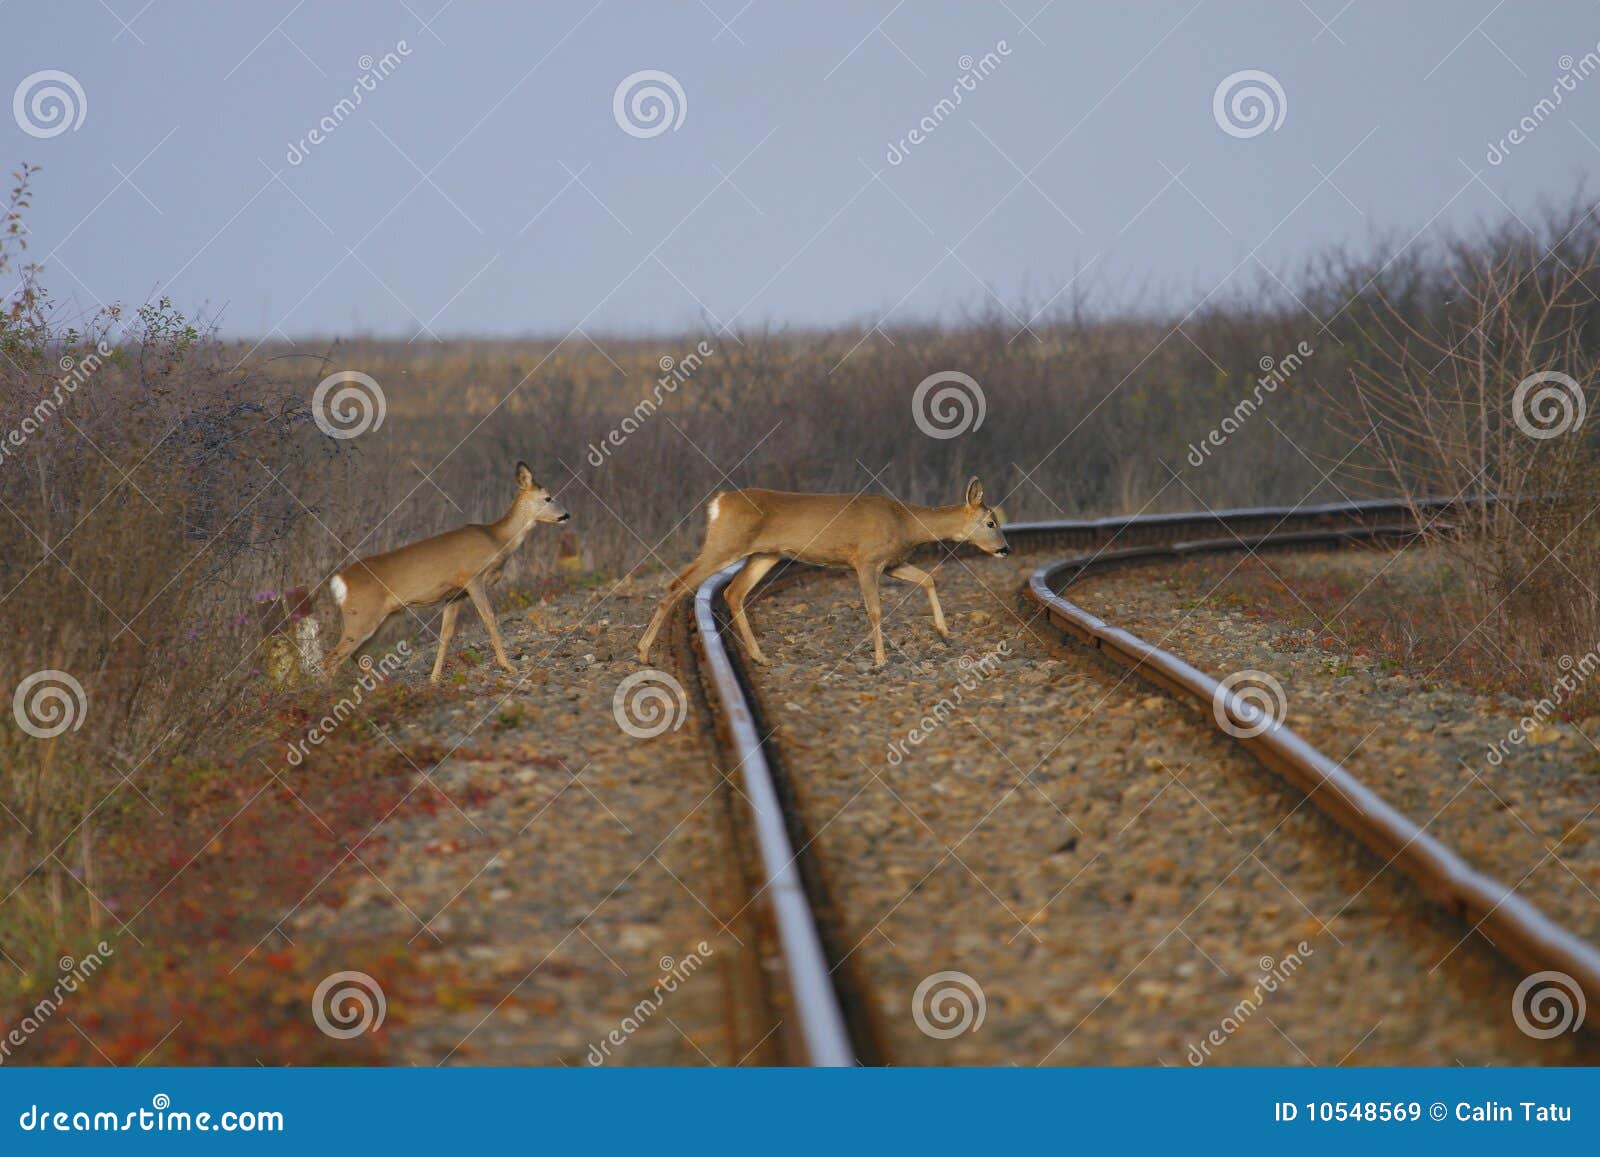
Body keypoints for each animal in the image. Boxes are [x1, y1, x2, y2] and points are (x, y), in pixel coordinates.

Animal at [323, 462, 569, 683]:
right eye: (548, 497)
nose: (566, 515)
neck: (498, 540)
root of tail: (339, 581)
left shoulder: (455, 594)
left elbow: (446, 634)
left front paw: (434, 677)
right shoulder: (473, 578)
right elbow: (489, 619)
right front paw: (508, 665)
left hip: (383, 617)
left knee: (355, 654)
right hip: (361, 615)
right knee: (331, 659)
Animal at [636, 477, 1009, 668]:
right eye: (991, 522)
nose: (1005, 549)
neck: (906, 523)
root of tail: (720, 502)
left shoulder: (892, 563)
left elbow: (930, 578)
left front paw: (944, 632)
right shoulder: (866, 560)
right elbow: (875, 610)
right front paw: (880, 659)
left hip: (765, 554)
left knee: (733, 592)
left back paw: (760, 656)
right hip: (725, 543)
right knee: (677, 584)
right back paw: (642, 652)